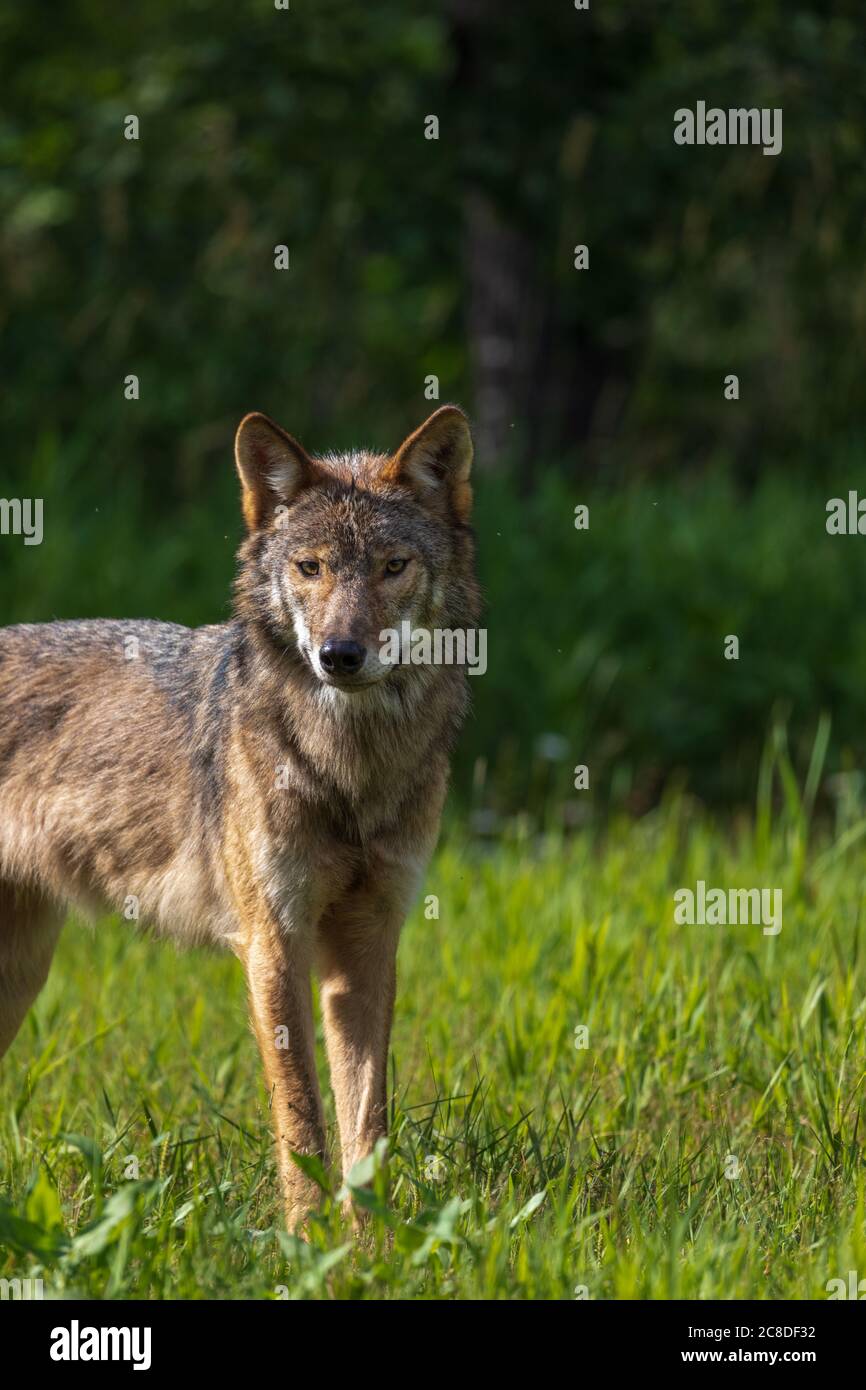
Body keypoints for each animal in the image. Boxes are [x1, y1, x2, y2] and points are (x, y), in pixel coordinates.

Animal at [0, 405, 480, 1228]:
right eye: (311, 568)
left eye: (393, 566)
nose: (339, 655)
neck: (348, 767)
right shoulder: (272, 944)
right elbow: (301, 1118)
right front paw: (307, 1237)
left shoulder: (369, 943)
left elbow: (366, 1123)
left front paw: (372, 1243)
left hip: (22, 971)